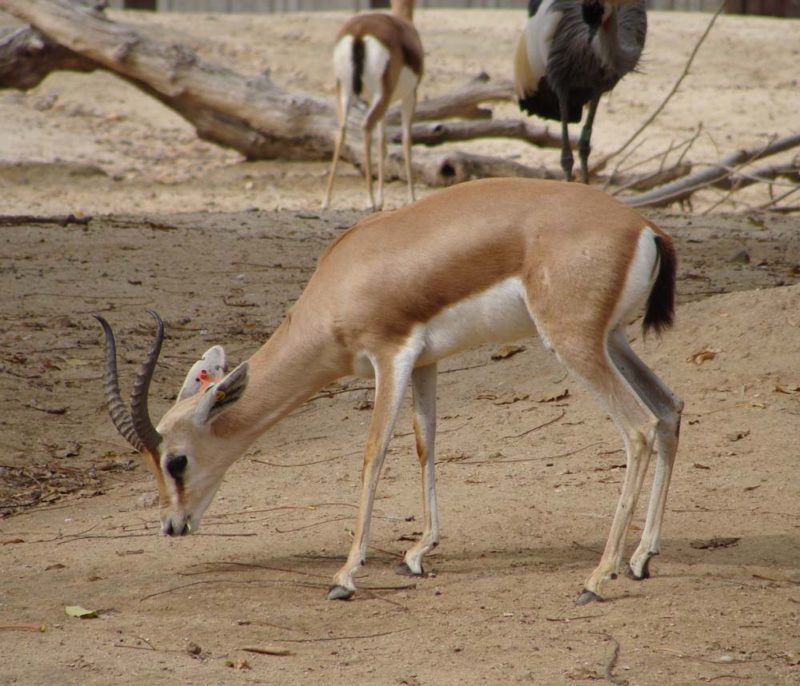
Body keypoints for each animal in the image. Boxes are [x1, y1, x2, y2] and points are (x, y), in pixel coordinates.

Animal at [96, 178, 682, 605]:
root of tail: (645, 226)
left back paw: (598, 578)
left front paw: (345, 575)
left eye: (175, 461)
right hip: (612, 339)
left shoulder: (390, 357)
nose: (172, 526)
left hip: (575, 344)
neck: (339, 286)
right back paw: (642, 559)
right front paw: (419, 552)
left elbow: (373, 453)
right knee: (670, 410)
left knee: (639, 428)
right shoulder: (425, 363)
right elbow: (426, 444)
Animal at [322, 0, 423, 211]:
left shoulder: (383, 105)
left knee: (341, 132)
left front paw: (382, 199)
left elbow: (382, 144)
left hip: (344, 92)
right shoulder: (410, 95)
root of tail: (359, 32)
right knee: (366, 126)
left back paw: (326, 201)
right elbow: (406, 142)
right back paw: (369, 200)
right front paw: (411, 197)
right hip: (381, 96)